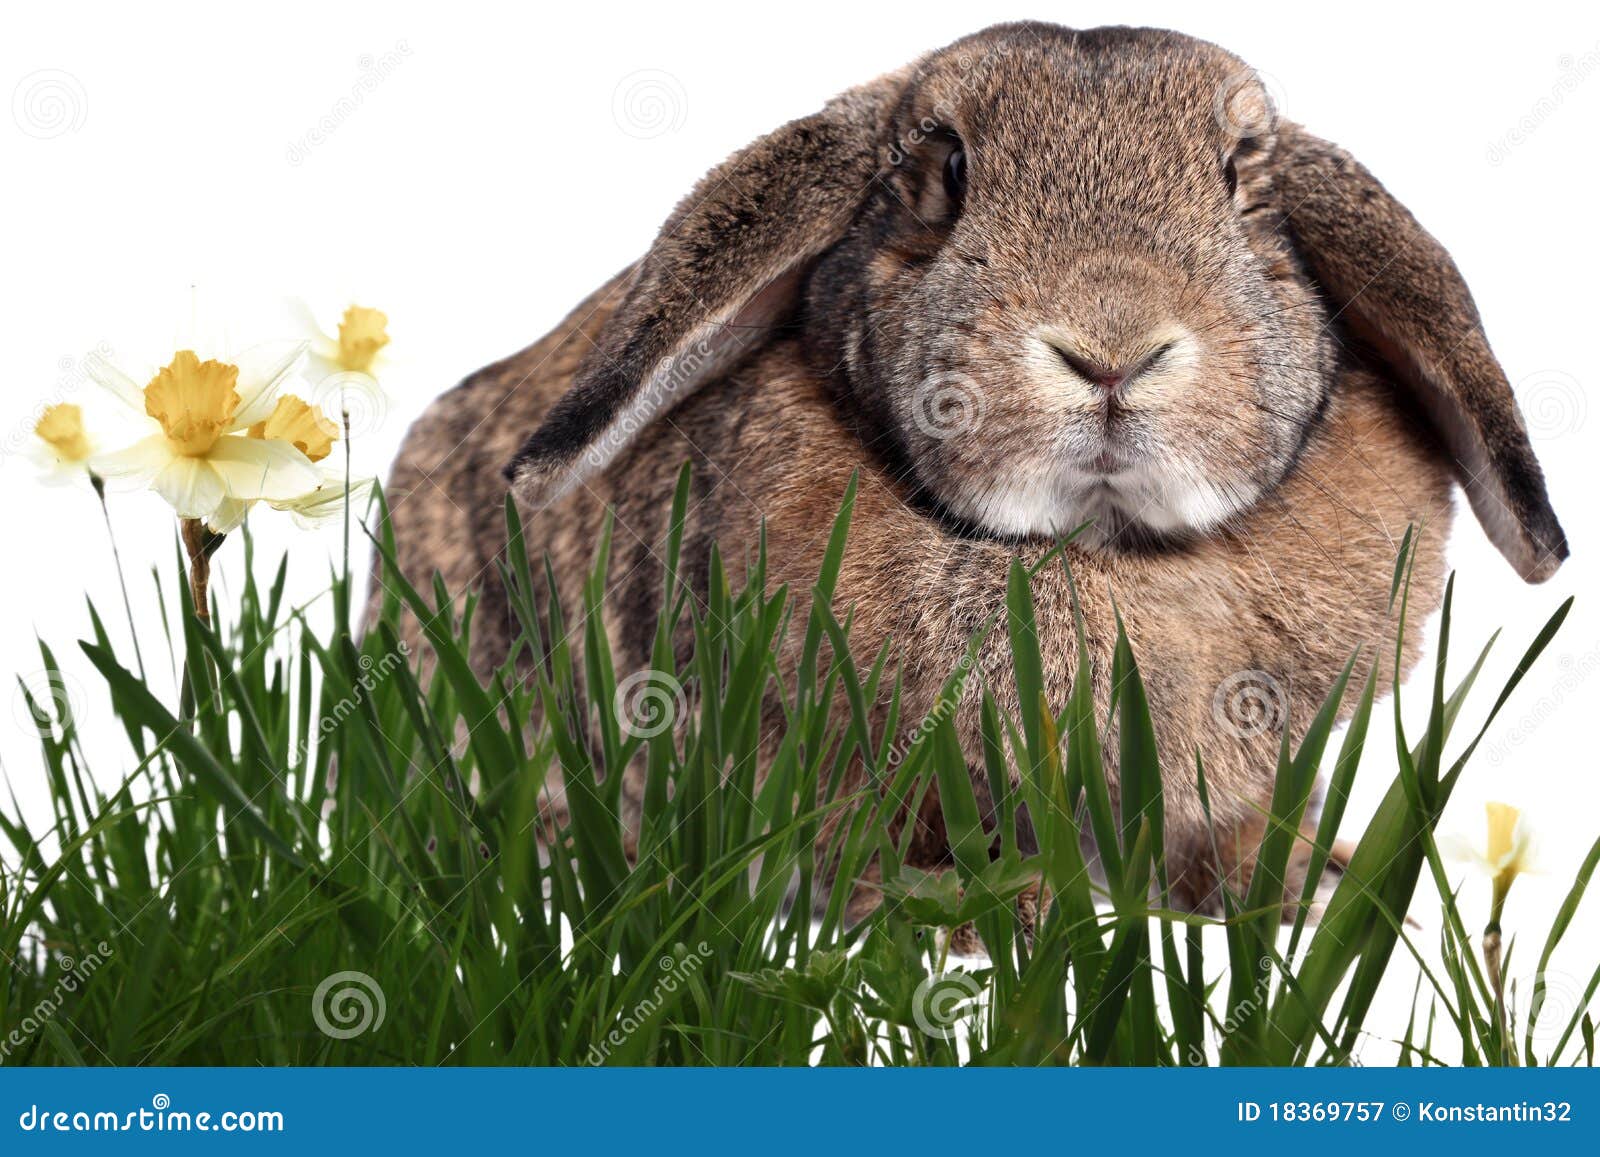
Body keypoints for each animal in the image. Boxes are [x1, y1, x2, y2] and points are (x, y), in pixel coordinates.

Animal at [374, 23, 1566, 918]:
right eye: (945, 169)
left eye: (1239, 175)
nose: (1111, 347)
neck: (1103, 553)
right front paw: (984, 910)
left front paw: (1302, 888)